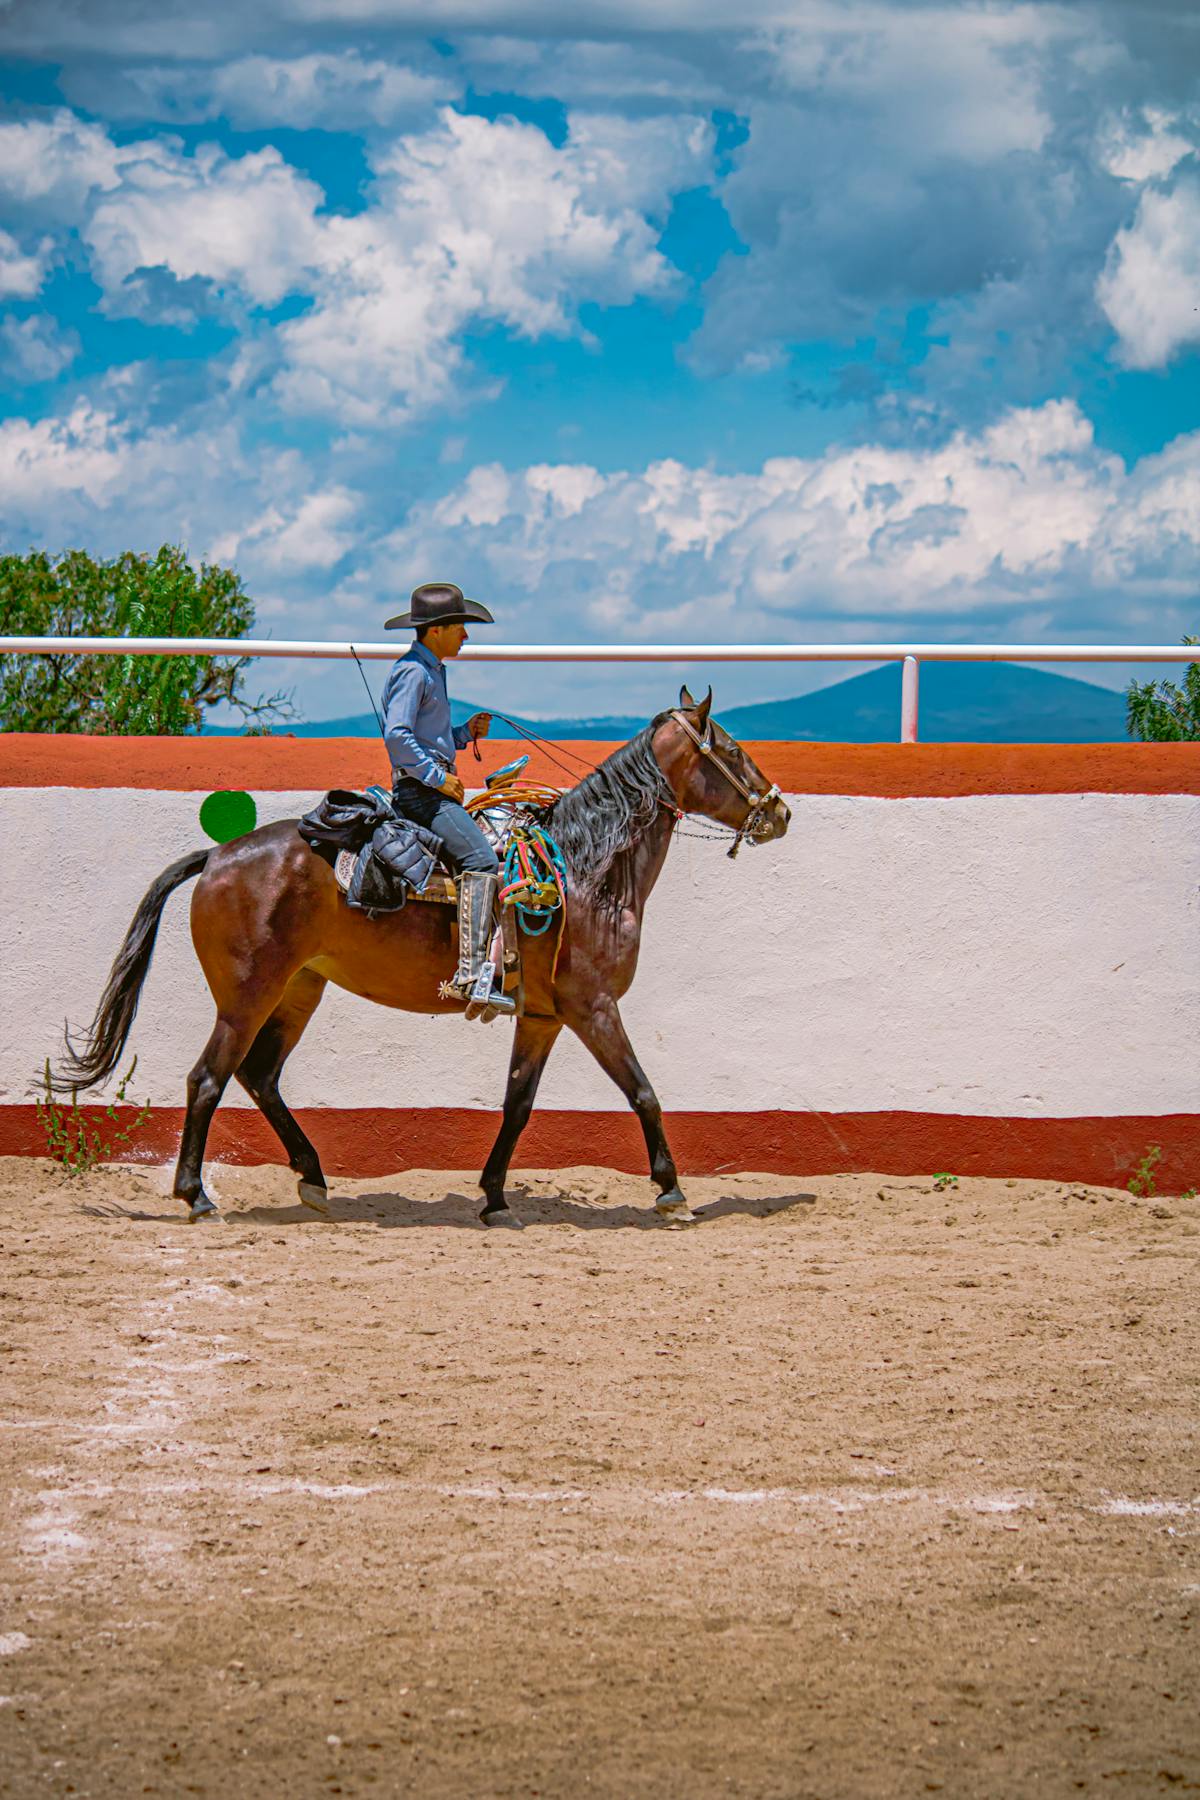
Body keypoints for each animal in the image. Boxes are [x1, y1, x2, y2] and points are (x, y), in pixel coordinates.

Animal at [54, 687, 790, 1229]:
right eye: (730, 747)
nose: (780, 812)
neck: (586, 872)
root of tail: (217, 855)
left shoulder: (544, 1016)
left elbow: (517, 1103)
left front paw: (495, 1197)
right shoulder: (593, 1007)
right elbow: (642, 1091)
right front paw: (671, 1191)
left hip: (299, 989)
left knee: (259, 1076)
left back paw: (313, 1178)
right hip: (247, 994)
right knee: (208, 1078)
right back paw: (197, 1196)